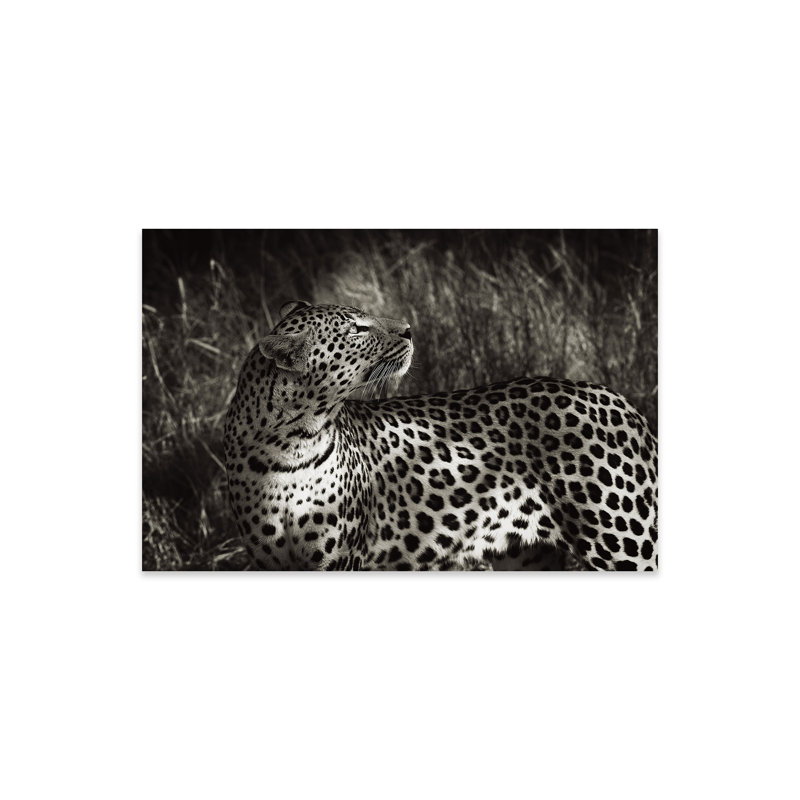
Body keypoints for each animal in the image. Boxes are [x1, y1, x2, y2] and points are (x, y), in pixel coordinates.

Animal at [223, 301, 658, 571]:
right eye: (358, 329)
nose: (409, 329)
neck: (291, 443)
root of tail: (617, 398)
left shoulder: (339, 560)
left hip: (626, 544)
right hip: (527, 555)